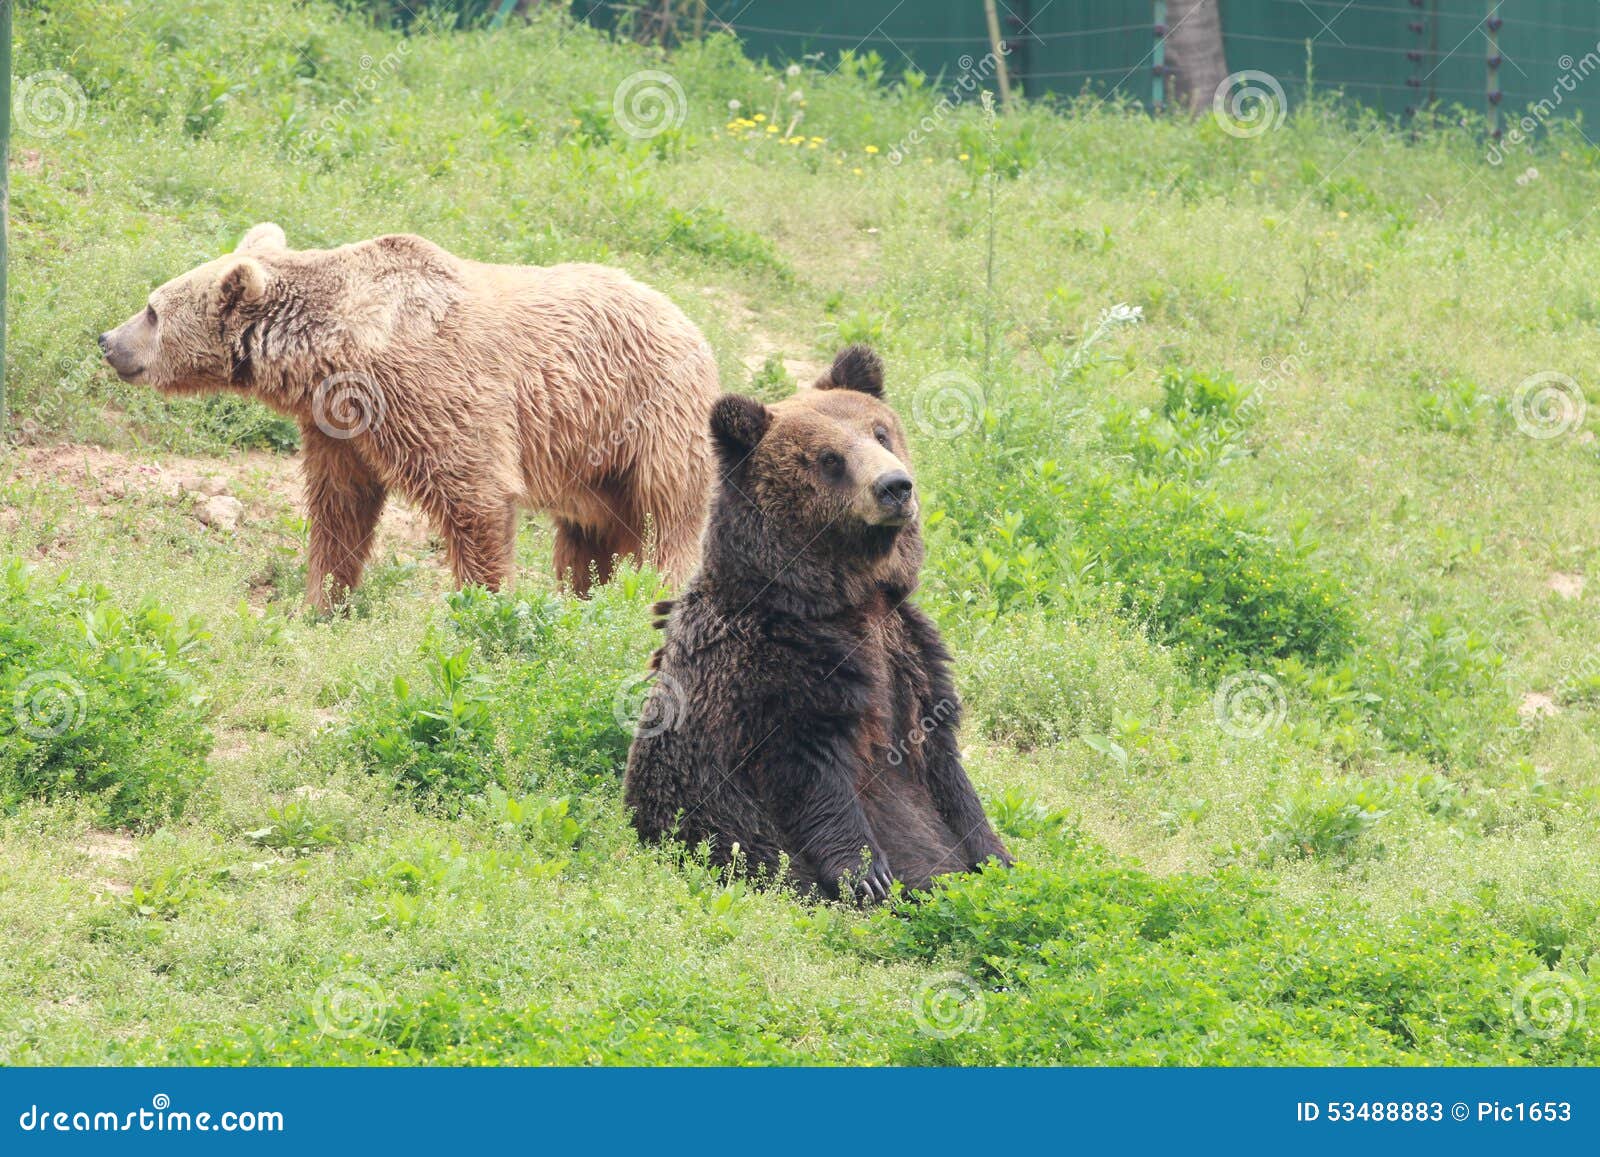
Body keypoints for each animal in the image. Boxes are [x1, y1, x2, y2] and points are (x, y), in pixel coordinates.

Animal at [99, 224, 718, 608]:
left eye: (152, 311)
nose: (107, 340)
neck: (338, 357)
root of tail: (689, 321)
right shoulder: (339, 427)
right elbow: (340, 509)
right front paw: (320, 603)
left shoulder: (432, 392)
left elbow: (475, 496)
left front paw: (484, 608)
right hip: (590, 468)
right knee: (584, 543)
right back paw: (582, 599)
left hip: (650, 419)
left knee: (668, 519)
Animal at [623, 345, 1011, 903]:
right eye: (830, 459)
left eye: (880, 432)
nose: (895, 486)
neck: (847, 601)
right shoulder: (778, 663)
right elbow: (810, 768)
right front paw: (867, 873)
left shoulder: (910, 652)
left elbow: (944, 765)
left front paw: (997, 855)